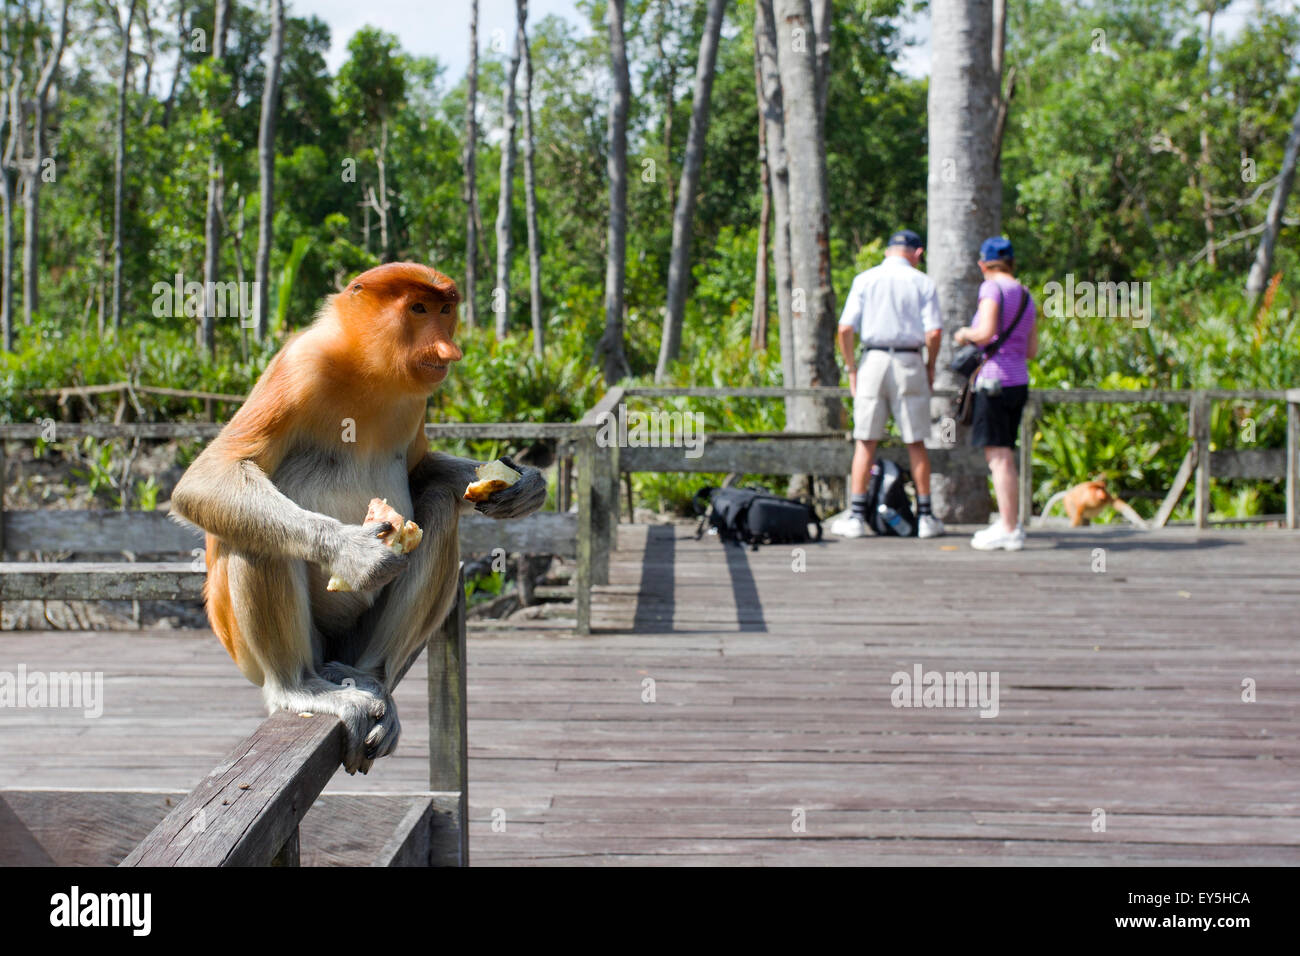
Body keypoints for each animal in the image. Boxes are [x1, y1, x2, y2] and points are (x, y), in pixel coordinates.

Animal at [168, 262, 546, 774]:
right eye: (418, 308)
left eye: (446, 310)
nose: (448, 351)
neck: (371, 368)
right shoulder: (300, 367)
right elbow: (210, 477)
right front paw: (356, 552)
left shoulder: (415, 402)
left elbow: (421, 471)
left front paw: (526, 485)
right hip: (249, 648)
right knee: (254, 538)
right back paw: (301, 688)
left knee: (439, 504)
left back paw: (369, 676)